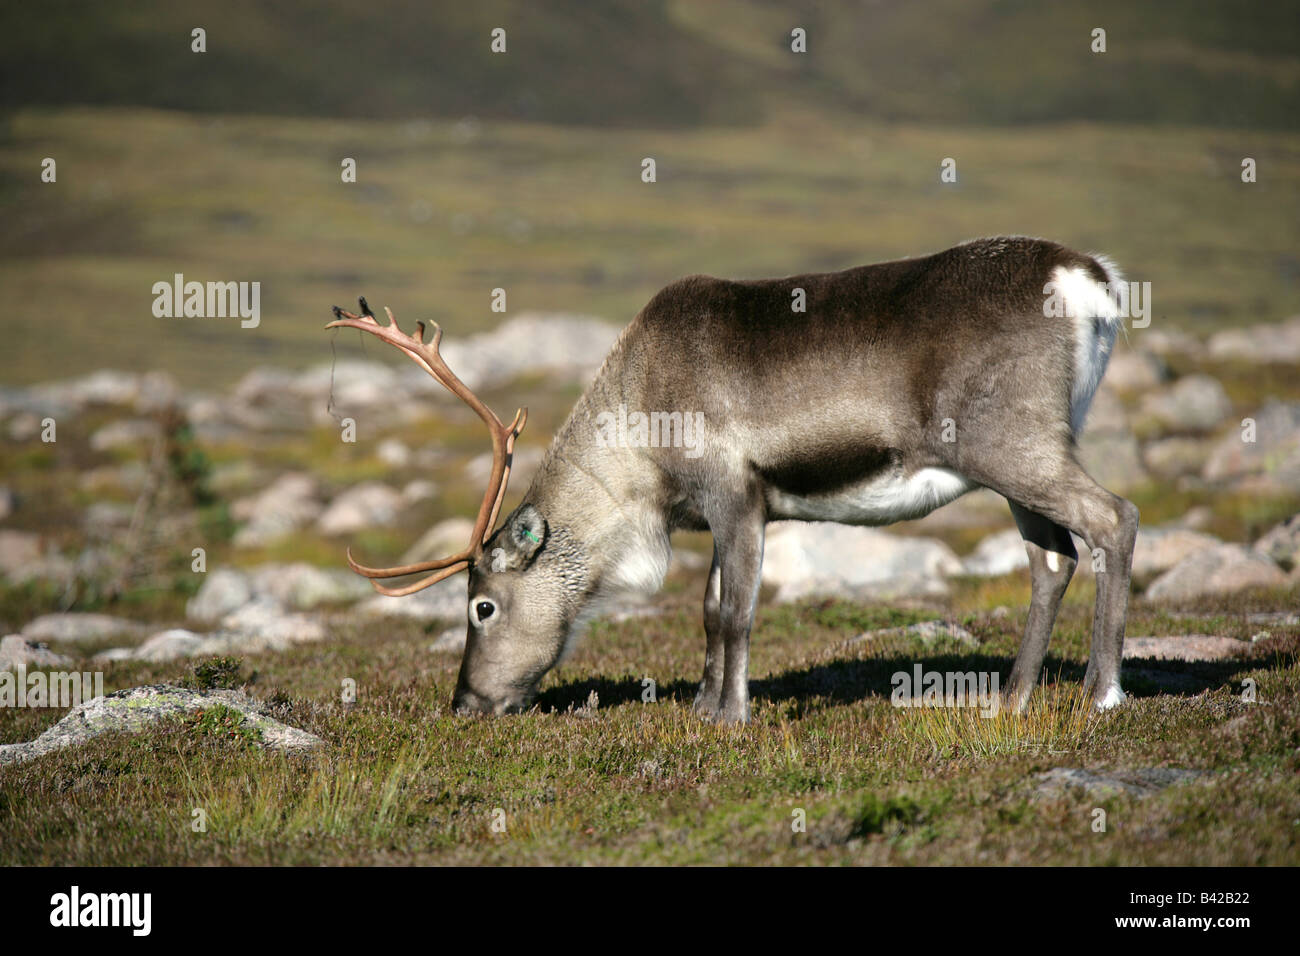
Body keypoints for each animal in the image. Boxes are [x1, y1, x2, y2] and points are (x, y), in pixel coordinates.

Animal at [326, 236, 1138, 724]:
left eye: (483, 606)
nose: (465, 703)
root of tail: (1091, 281)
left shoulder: (738, 497)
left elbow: (739, 613)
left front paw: (731, 716)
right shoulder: (718, 516)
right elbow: (710, 610)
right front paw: (700, 711)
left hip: (1014, 445)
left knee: (1113, 519)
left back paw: (1102, 692)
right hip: (1016, 462)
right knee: (1052, 559)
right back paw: (1013, 700)